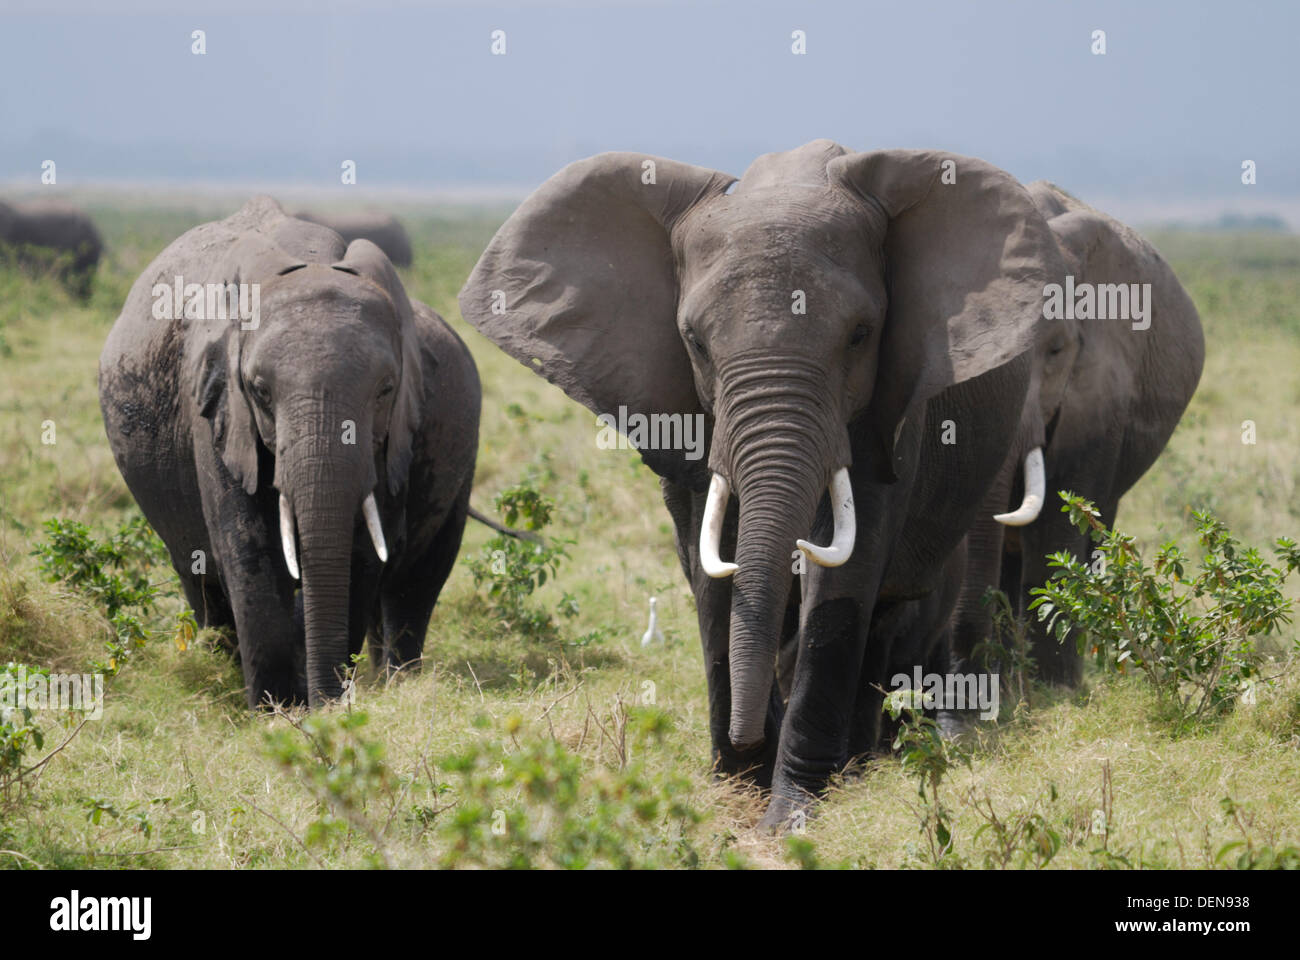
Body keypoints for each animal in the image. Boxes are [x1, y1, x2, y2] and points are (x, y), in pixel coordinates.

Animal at [99, 196, 480, 708]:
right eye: (260, 391)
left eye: (386, 390)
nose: (328, 700)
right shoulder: (216, 410)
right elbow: (248, 548)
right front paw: (275, 710)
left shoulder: (392, 432)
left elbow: (359, 552)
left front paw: (320, 703)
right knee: (197, 576)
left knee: (416, 584)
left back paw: (397, 680)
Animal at [459, 140, 1072, 829]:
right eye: (694, 342)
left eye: (860, 336)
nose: (749, 740)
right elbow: (711, 563)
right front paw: (735, 790)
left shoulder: (893, 410)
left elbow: (845, 571)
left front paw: (790, 815)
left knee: (882, 616)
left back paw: (853, 768)